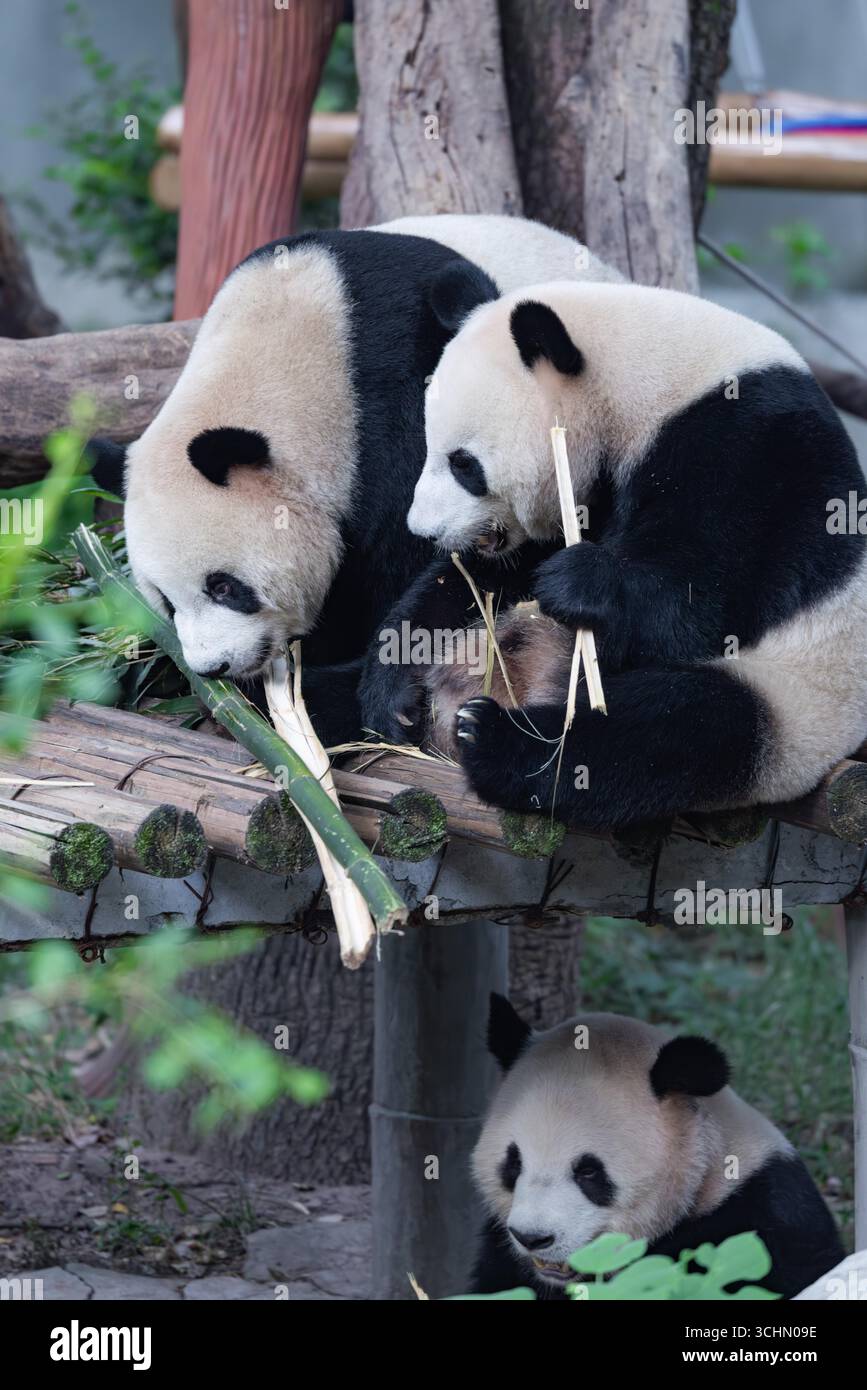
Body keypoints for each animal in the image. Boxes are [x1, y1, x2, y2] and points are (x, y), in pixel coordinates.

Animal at [359, 267, 867, 826]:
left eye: (463, 463)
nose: (424, 531)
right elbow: (478, 583)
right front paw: (393, 689)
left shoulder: (754, 446)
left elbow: (710, 599)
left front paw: (578, 582)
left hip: (794, 705)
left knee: (671, 729)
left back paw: (494, 738)